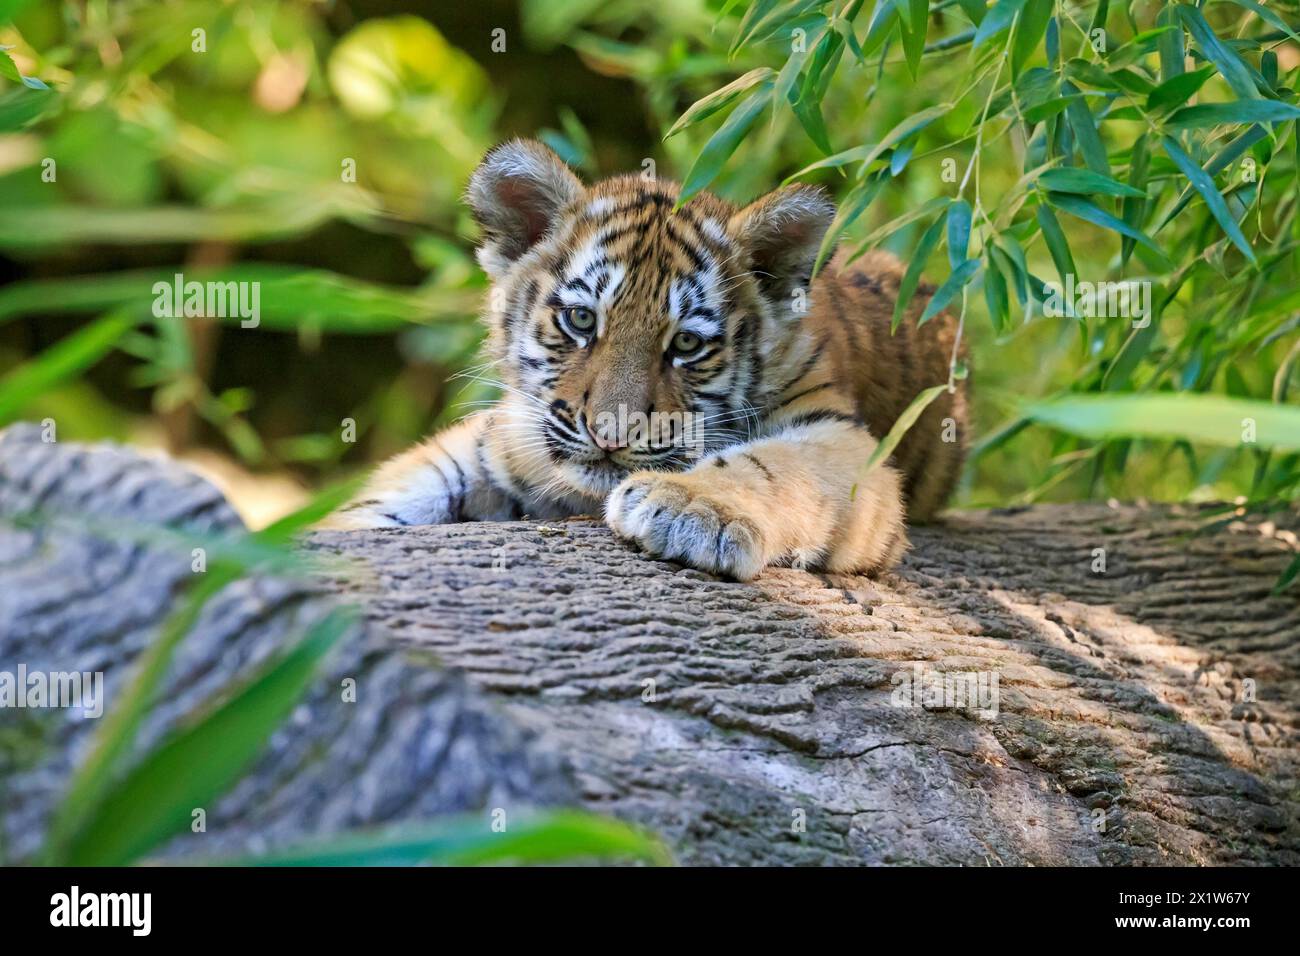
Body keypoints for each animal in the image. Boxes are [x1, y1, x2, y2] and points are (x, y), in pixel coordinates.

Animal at [325, 139, 969, 581]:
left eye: (685, 344)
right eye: (581, 320)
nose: (610, 435)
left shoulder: (844, 441)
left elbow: (774, 466)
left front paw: (691, 508)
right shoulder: (502, 437)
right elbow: (397, 492)